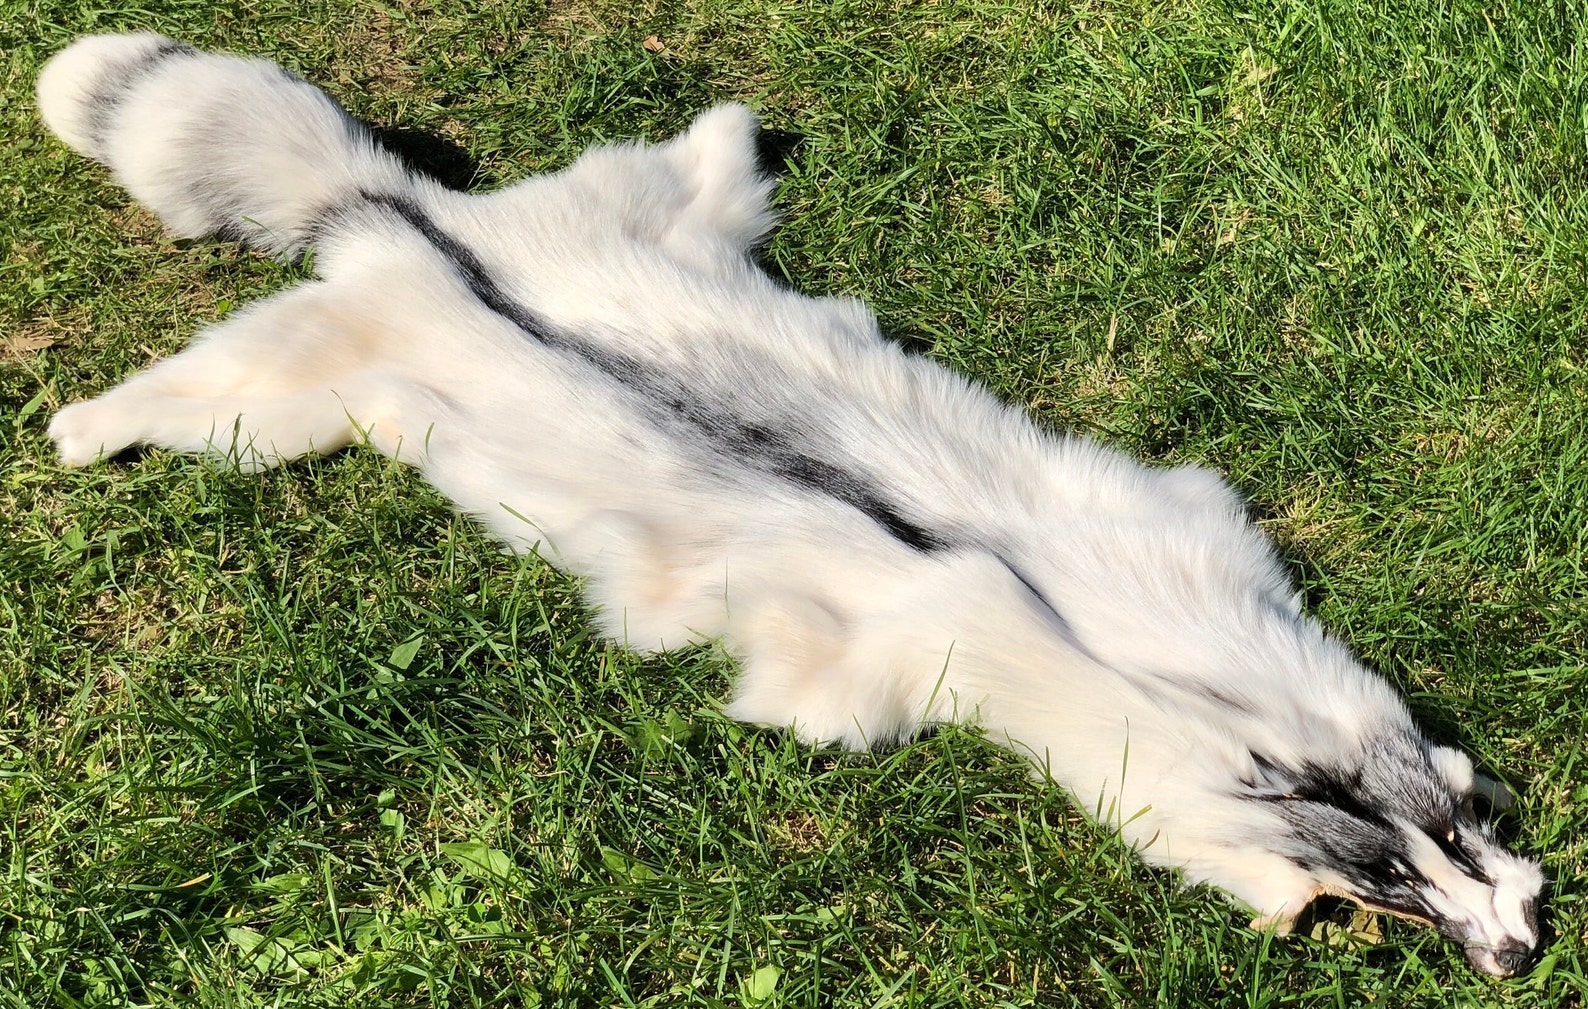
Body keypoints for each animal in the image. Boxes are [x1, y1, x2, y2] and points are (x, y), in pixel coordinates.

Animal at [35, 32, 1544, 977]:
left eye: (1458, 831)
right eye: (1386, 880)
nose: (1524, 946)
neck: (1133, 657)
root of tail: (399, 215)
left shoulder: (1172, 530)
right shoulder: (893, 664)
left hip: (624, 210)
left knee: (683, 161)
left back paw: (728, 128)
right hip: (316, 374)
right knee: (220, 391)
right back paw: (90, 425)